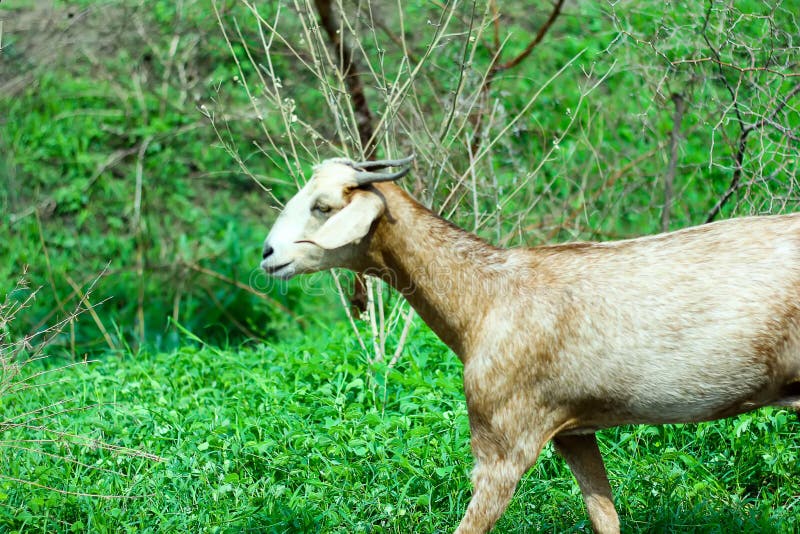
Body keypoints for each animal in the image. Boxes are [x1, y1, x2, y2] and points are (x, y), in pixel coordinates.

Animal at [260, 155, 800, 533]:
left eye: (323, 206)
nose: (268, 254)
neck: (485, 299)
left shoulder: (503, 442)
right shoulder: (573, 430)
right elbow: (605, 516)